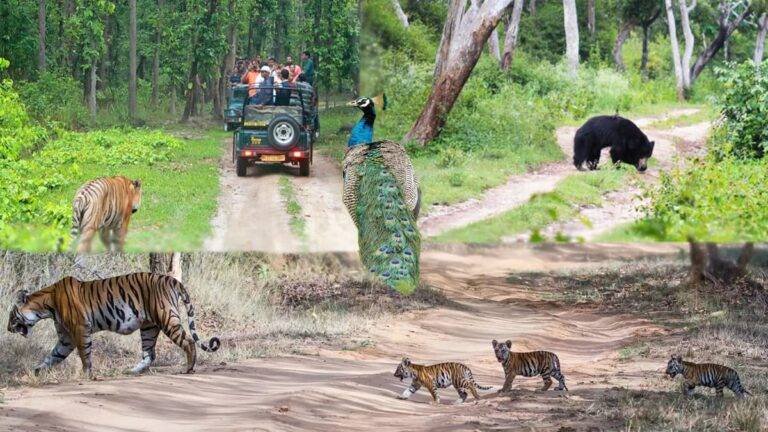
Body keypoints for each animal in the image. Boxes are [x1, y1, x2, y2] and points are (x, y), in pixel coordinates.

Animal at [6, 272, 220, 379]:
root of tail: (172, 279)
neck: (46, 306)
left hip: (167, 318)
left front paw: (86, 375)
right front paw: (36, 372)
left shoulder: (79, 328)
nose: (7, 329)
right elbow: (53, 356)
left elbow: (84, 354)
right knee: (149, 354)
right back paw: (132, 371)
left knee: (188, 342)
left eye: (11, 316)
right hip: (149, 327)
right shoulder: (66, 338)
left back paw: (188, 369)